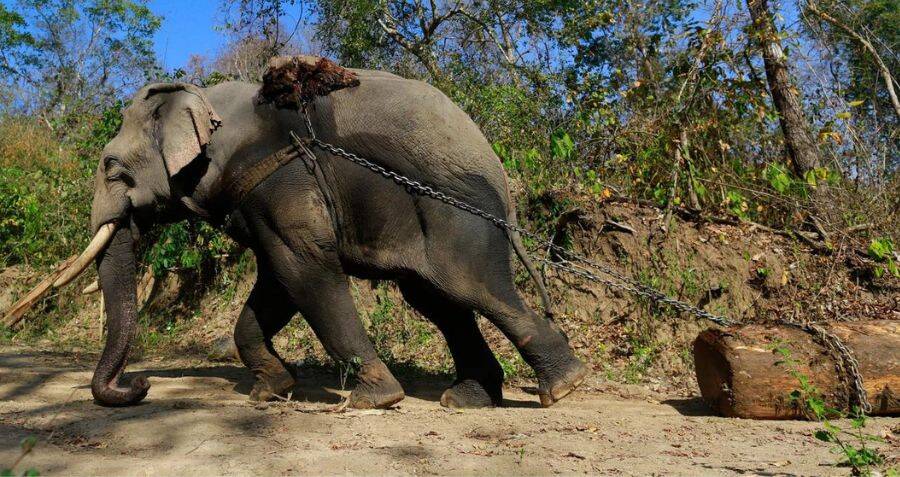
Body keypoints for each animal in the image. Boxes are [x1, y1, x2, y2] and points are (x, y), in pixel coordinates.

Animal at [55, 62, 589, 409]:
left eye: (111, 167)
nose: (142, 385)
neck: (203, 98)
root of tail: (501, 176)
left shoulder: (280, 173)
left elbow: (305, 268)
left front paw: (375, 399)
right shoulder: (260, 195)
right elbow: (276, 281)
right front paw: (270, 391)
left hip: (457, 215)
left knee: (474, 288)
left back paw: (562, 387)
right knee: (438, 302)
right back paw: (468, 400)